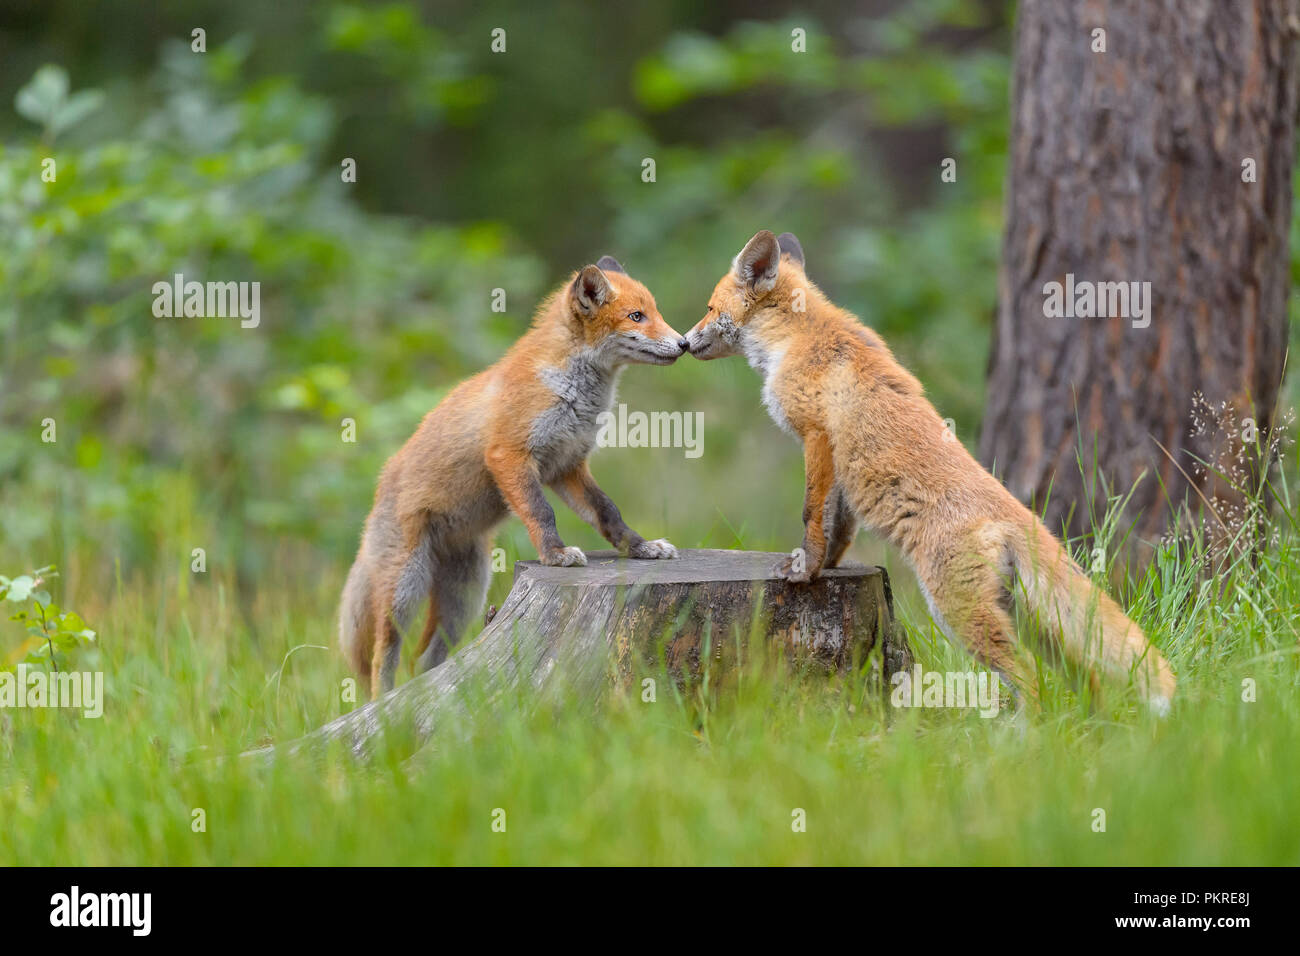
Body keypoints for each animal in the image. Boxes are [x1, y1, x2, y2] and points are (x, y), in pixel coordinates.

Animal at [340, 257, 687, 697]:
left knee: (424, 659)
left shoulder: (567, 466)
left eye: (655, 312)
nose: (684, 343)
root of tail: (378, 494)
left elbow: (609, 512)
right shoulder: (511, 456)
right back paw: (384, 703)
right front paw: (555, 555)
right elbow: (541, 513)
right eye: (637, 317)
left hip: (465, 596)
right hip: (406, 587)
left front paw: (641, 548)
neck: (570, 390)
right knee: (384, 654)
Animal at [684, 229, 1175, 713]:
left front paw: (805, 568)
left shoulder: (817, 435)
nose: (686, 342)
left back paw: (1021, 733)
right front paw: (829, 566)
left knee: (1031, 679)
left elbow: (811, 513)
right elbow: (839, 526)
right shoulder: (840, 463)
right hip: (1026, 619)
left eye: (707, 308)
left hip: (957, 612)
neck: (797, 338)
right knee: (1084, 677)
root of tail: (1020, 516)